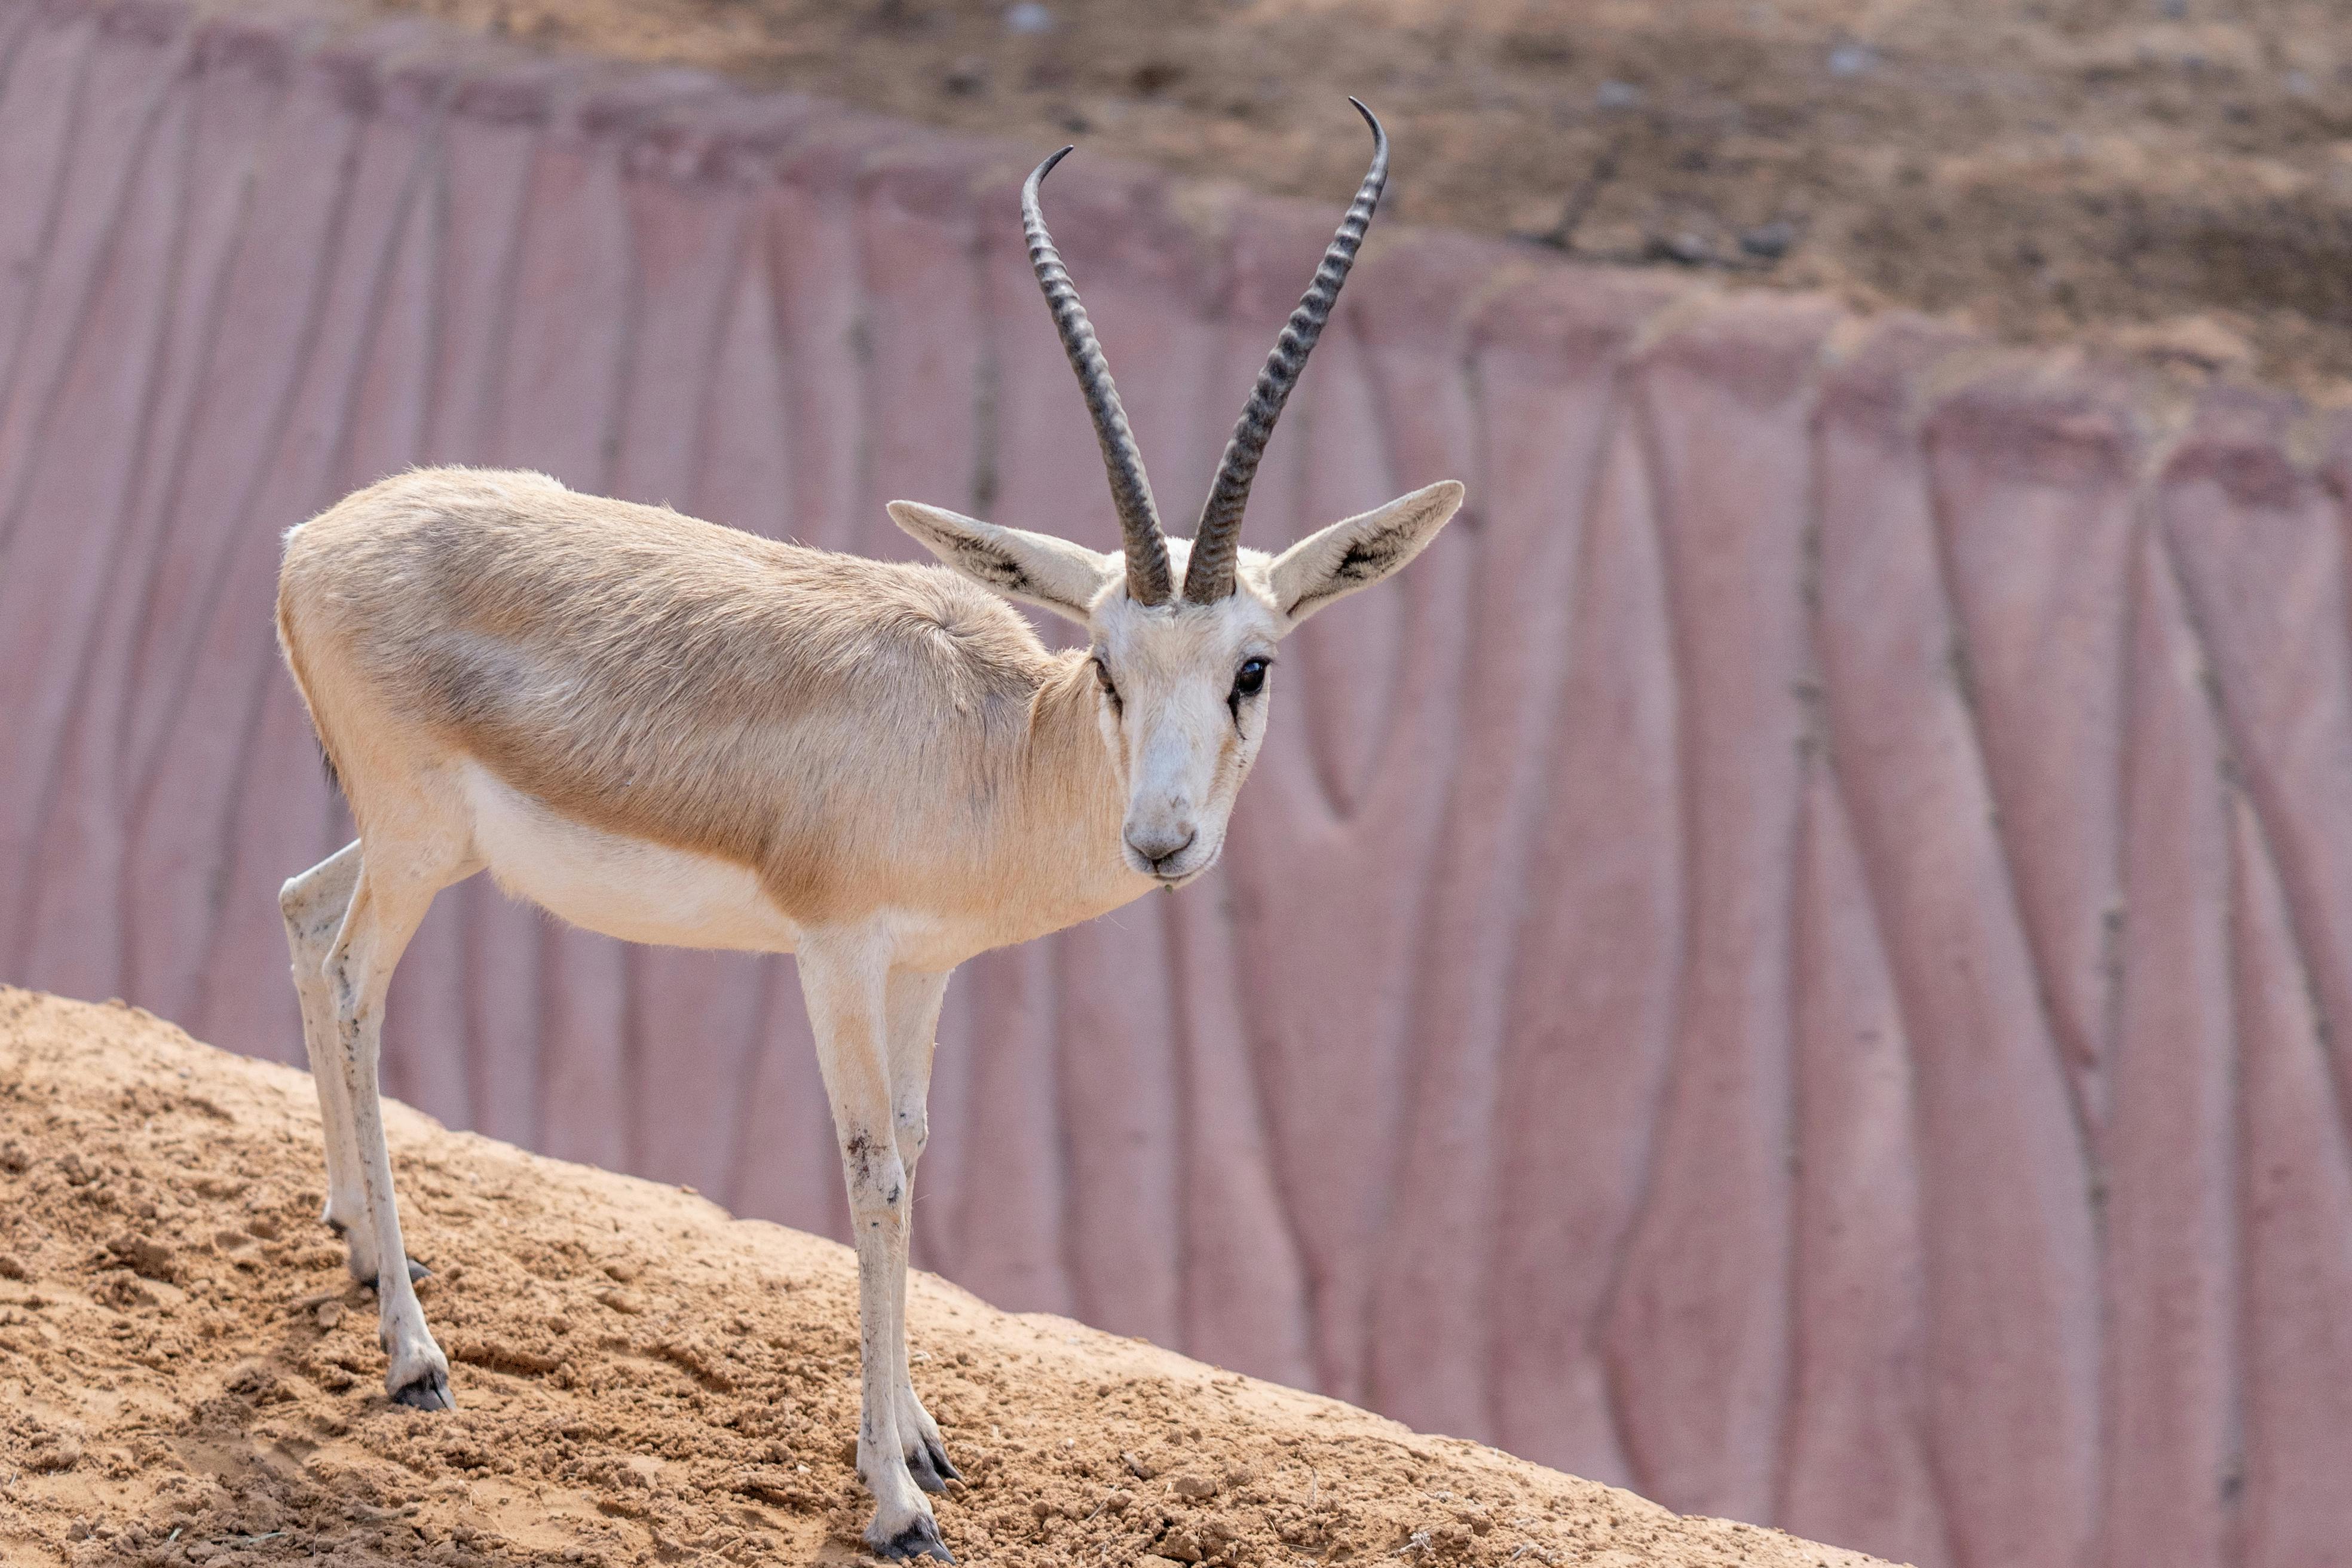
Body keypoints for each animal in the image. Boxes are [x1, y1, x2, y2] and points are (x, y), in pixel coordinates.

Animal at [272, 101, 1459, 1562]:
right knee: (353, 983)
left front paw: (920, 1439)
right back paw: (413, 1354)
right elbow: (873, 1172)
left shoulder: (926, 968)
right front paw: (896, 1498)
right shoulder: (835, 953)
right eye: (1107, 662)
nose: (1163, 841)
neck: (988, 750)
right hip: (420, 845)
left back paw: (362, 1244)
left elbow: (919, 1146)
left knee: (300, 906)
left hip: (415, 842)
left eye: (1253, 666)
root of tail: (312, 539)